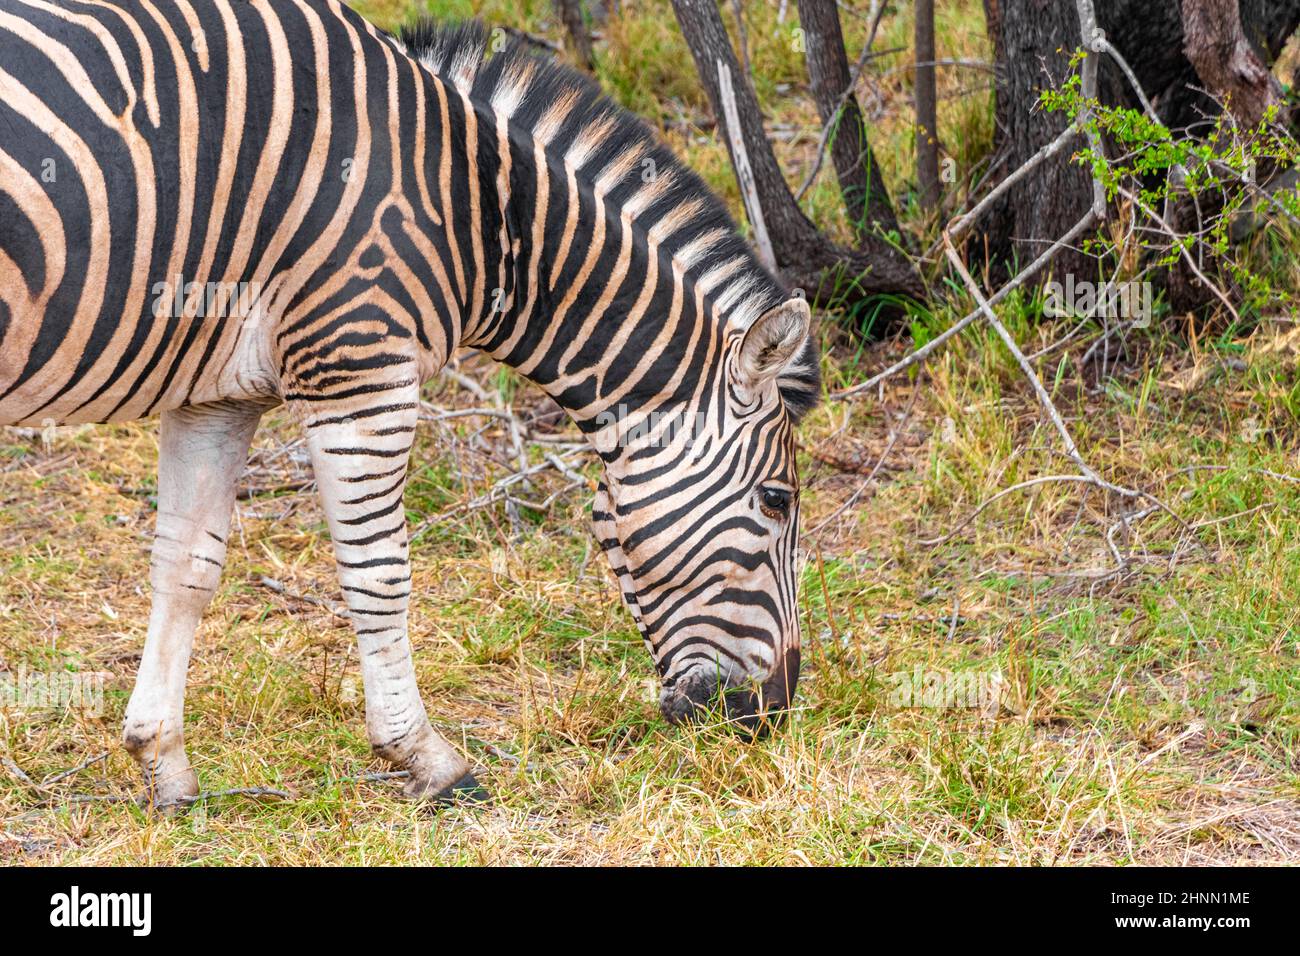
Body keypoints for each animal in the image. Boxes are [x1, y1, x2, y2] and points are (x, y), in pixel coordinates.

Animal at [0, 0, 820, 807]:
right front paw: (426, 758)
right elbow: (380, 575)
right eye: (777, 501)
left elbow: (186, 569)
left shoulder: (217, 395)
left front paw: (163, 762)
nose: (772, 714)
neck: (482, 216)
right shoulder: (358, 368)